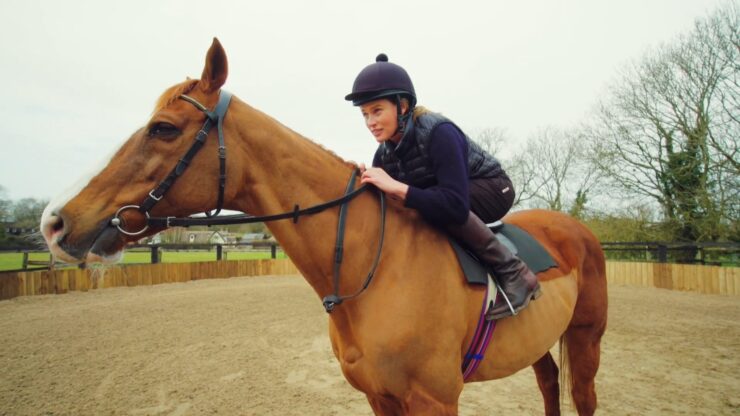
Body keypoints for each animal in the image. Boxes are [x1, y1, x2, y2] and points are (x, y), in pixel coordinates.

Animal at [40, 38, 607, 415]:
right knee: (548, 383)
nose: (53, 221)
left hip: (586, 339)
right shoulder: (381, 397)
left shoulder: (434, 399)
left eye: (163, 128)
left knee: (581, 394)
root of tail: (576, 230)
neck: (376, 270)